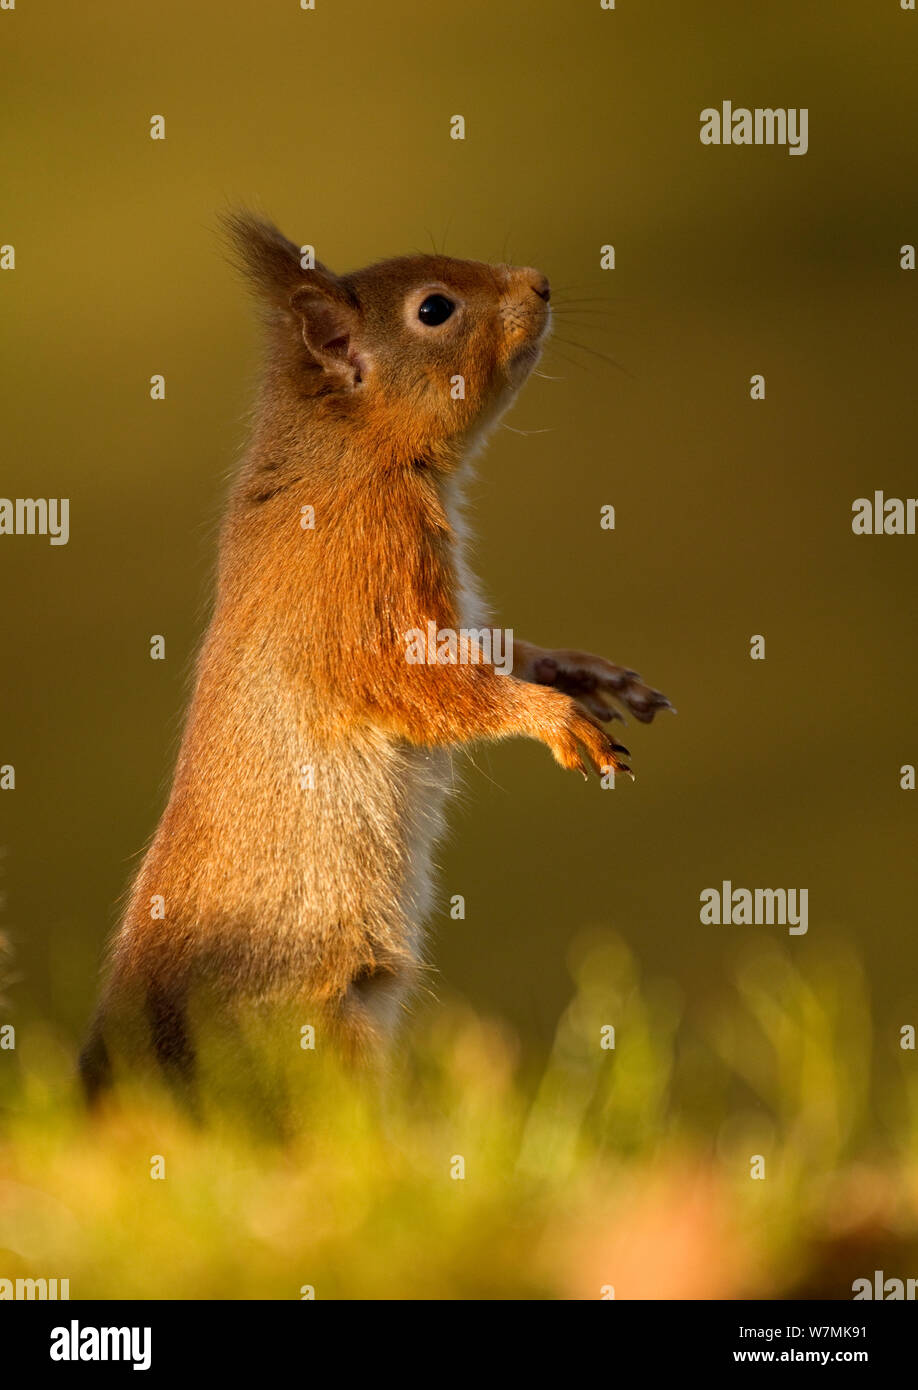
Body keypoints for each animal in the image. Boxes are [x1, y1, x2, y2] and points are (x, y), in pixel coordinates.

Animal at [78, 212, 672, 1101]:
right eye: (434, 310)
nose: (537, 283)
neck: (353, 457)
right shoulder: (362, 577)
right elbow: (417, 686)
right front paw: (550, 717)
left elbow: (502, 651)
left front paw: (590, 676)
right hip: (322, 1023)